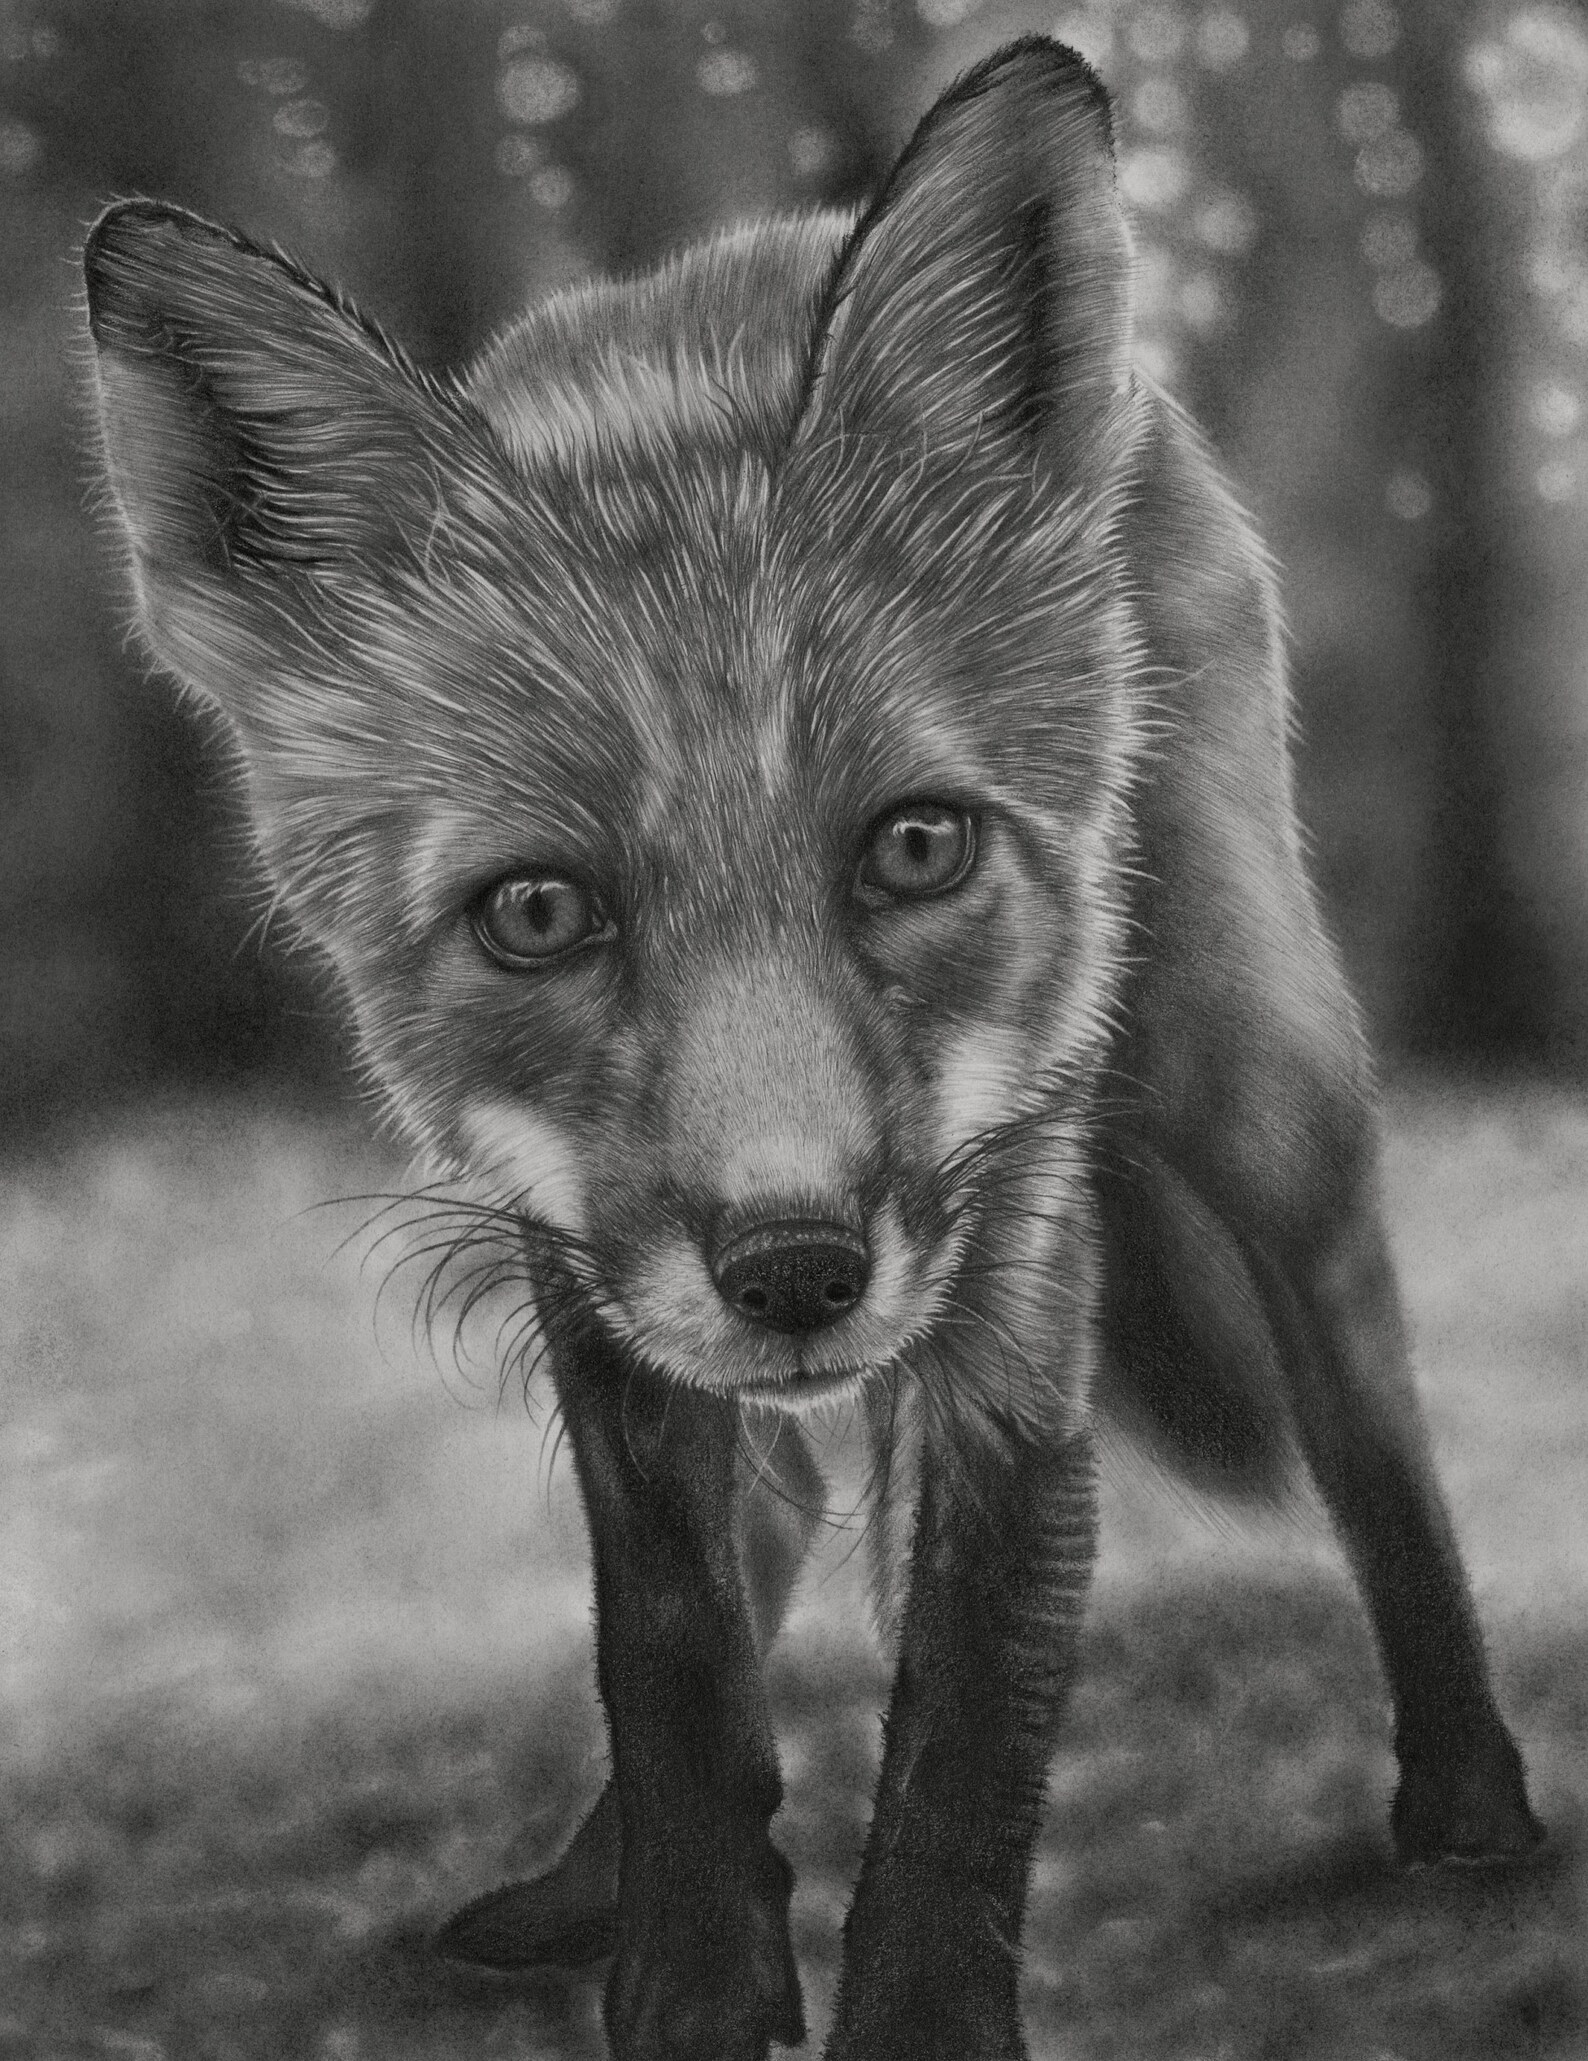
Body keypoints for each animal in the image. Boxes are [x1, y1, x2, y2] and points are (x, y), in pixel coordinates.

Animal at [83, 35, 1543, 2061]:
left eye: (916, 846)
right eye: (537, 913)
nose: (793, 1270)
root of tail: (778, 234)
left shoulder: (1009, 1260)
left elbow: (965, 1722)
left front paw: (912, 2008)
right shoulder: (582, 1270)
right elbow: (672, 1653)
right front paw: (693, 1975)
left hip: (1256, 1080)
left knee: (1365, 1398)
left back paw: (1470, 1797)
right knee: (770, 1503)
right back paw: (585, 1885)